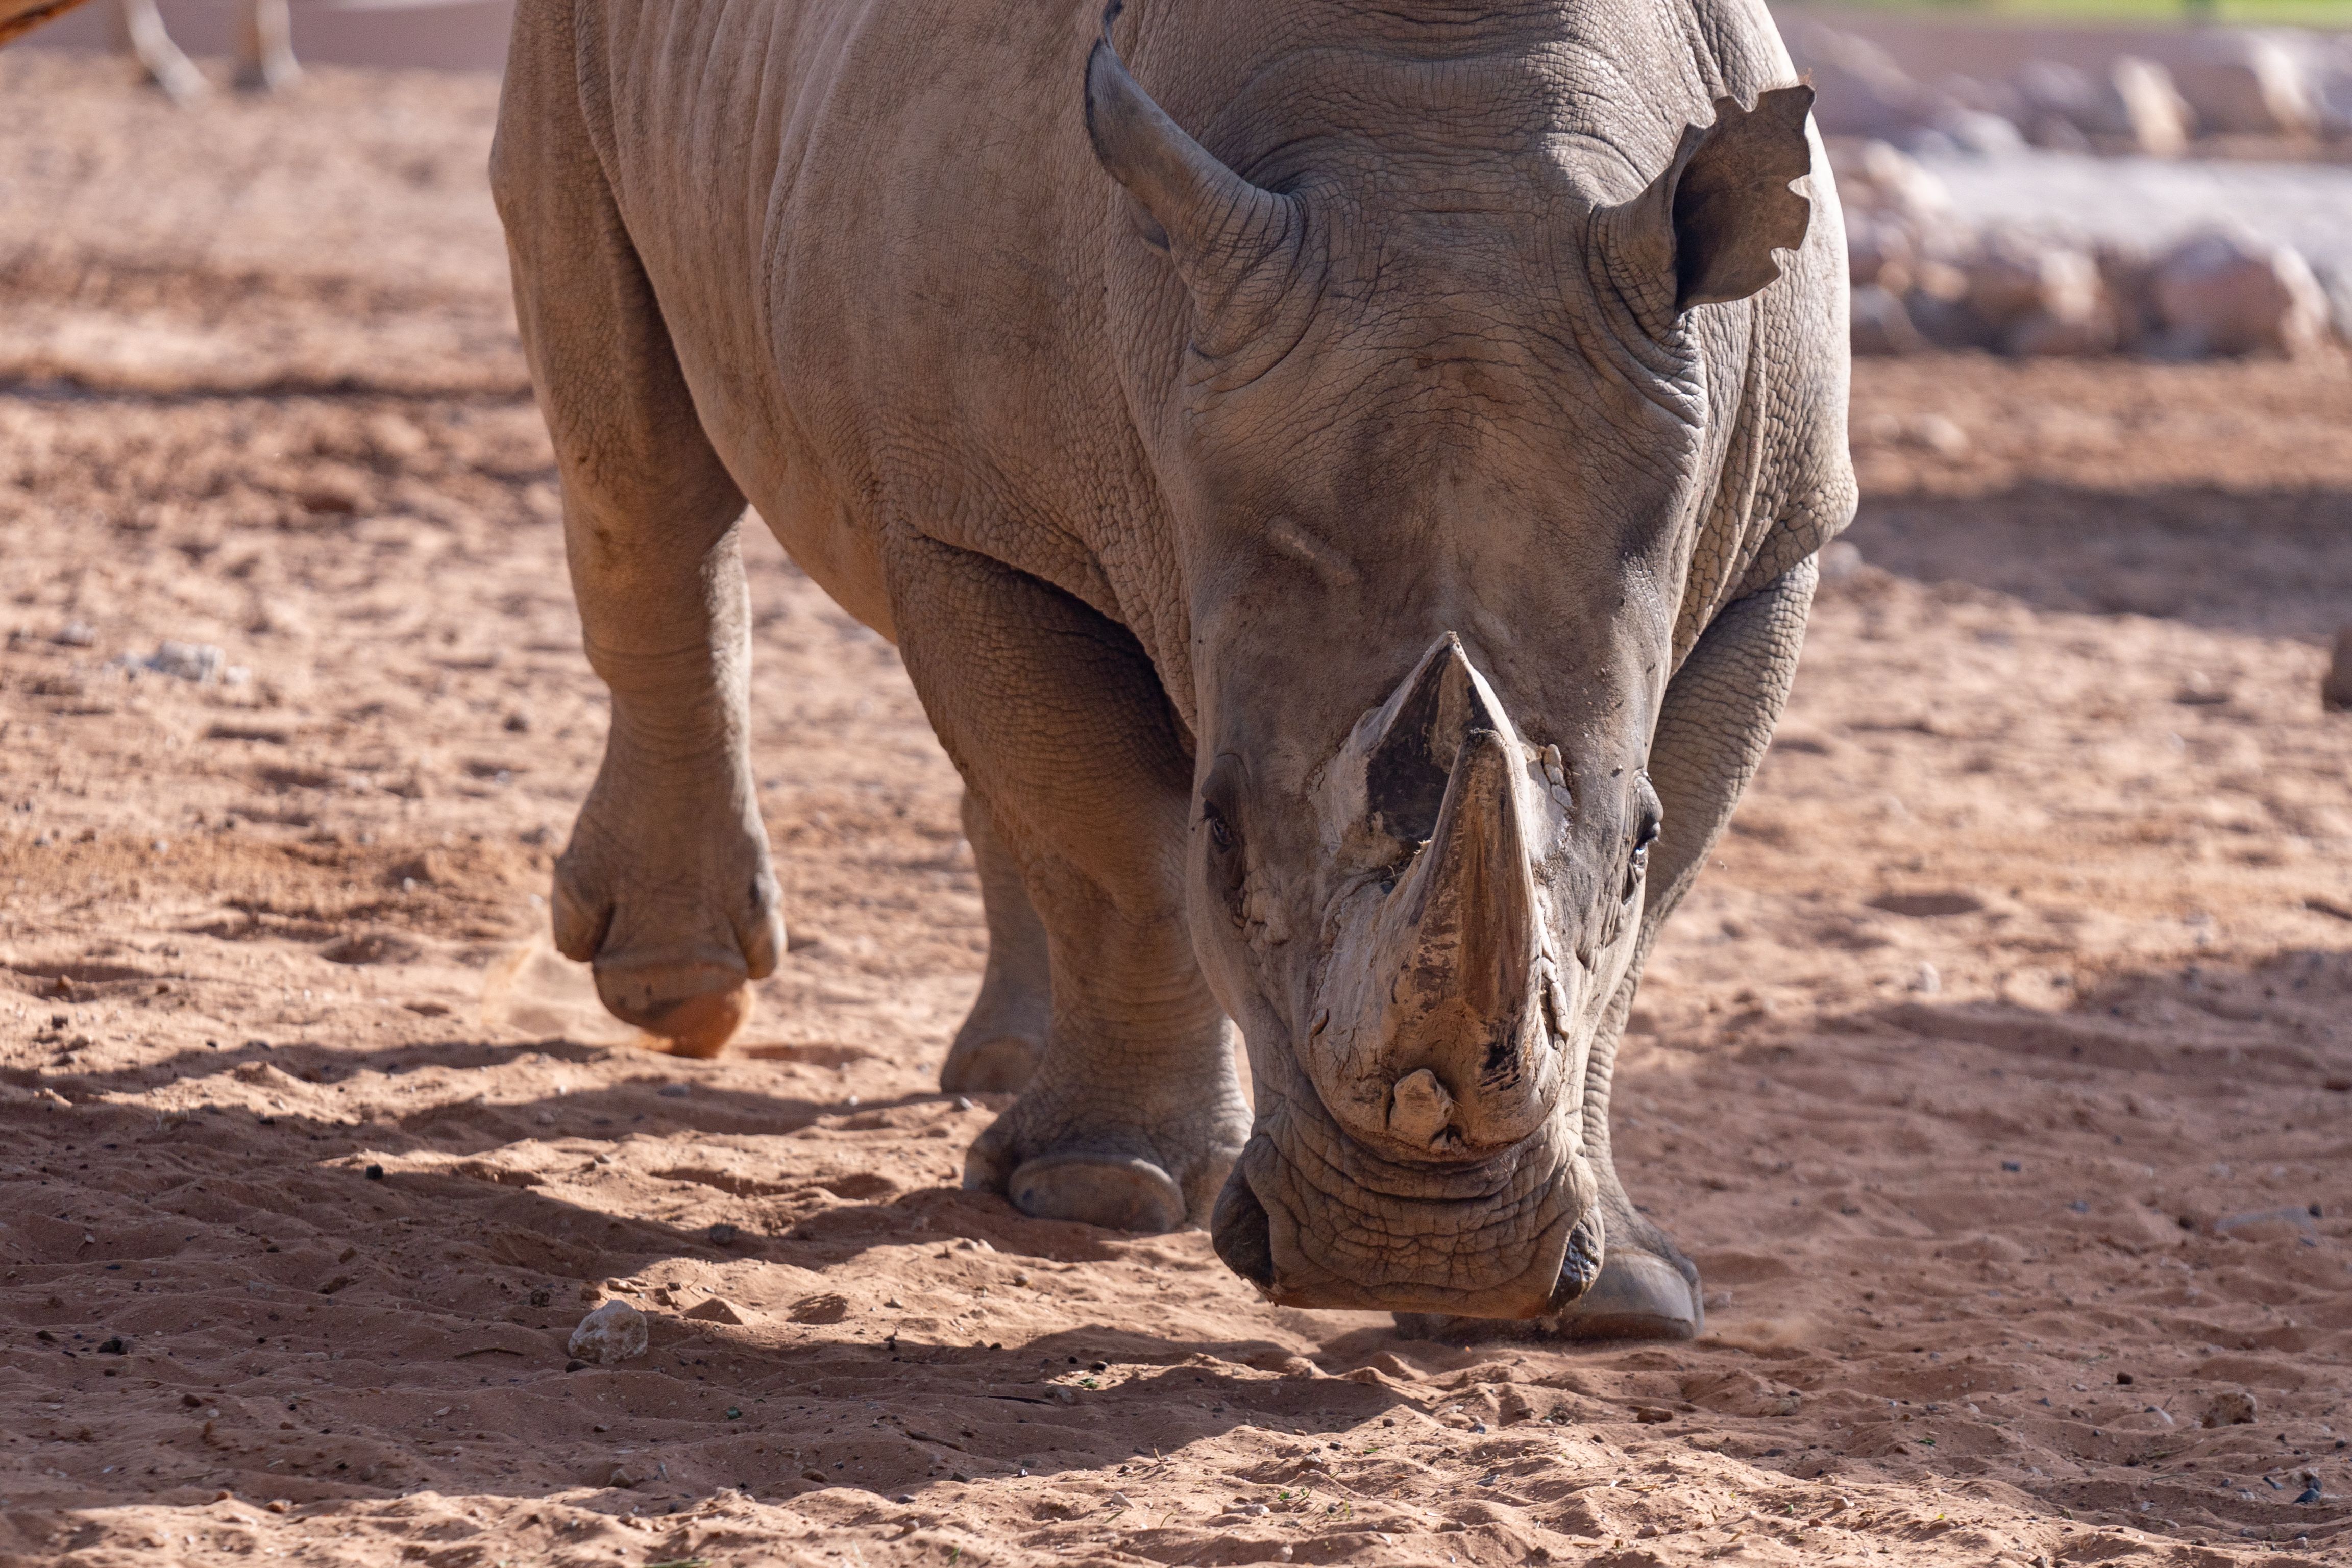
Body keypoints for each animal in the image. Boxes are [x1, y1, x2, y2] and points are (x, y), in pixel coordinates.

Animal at [494, 0, 1853, 1337]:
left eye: (1634, 843)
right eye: (1225, 846)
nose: (1421, 1257)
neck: (1442, 130)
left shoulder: (1779, 538)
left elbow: (1650, 921)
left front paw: (1620, 1300)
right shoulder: (977, 515)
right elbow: (1108, 844)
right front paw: (1099, 1188)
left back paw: (994, 1070)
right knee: (637, 455)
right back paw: (683, 995)